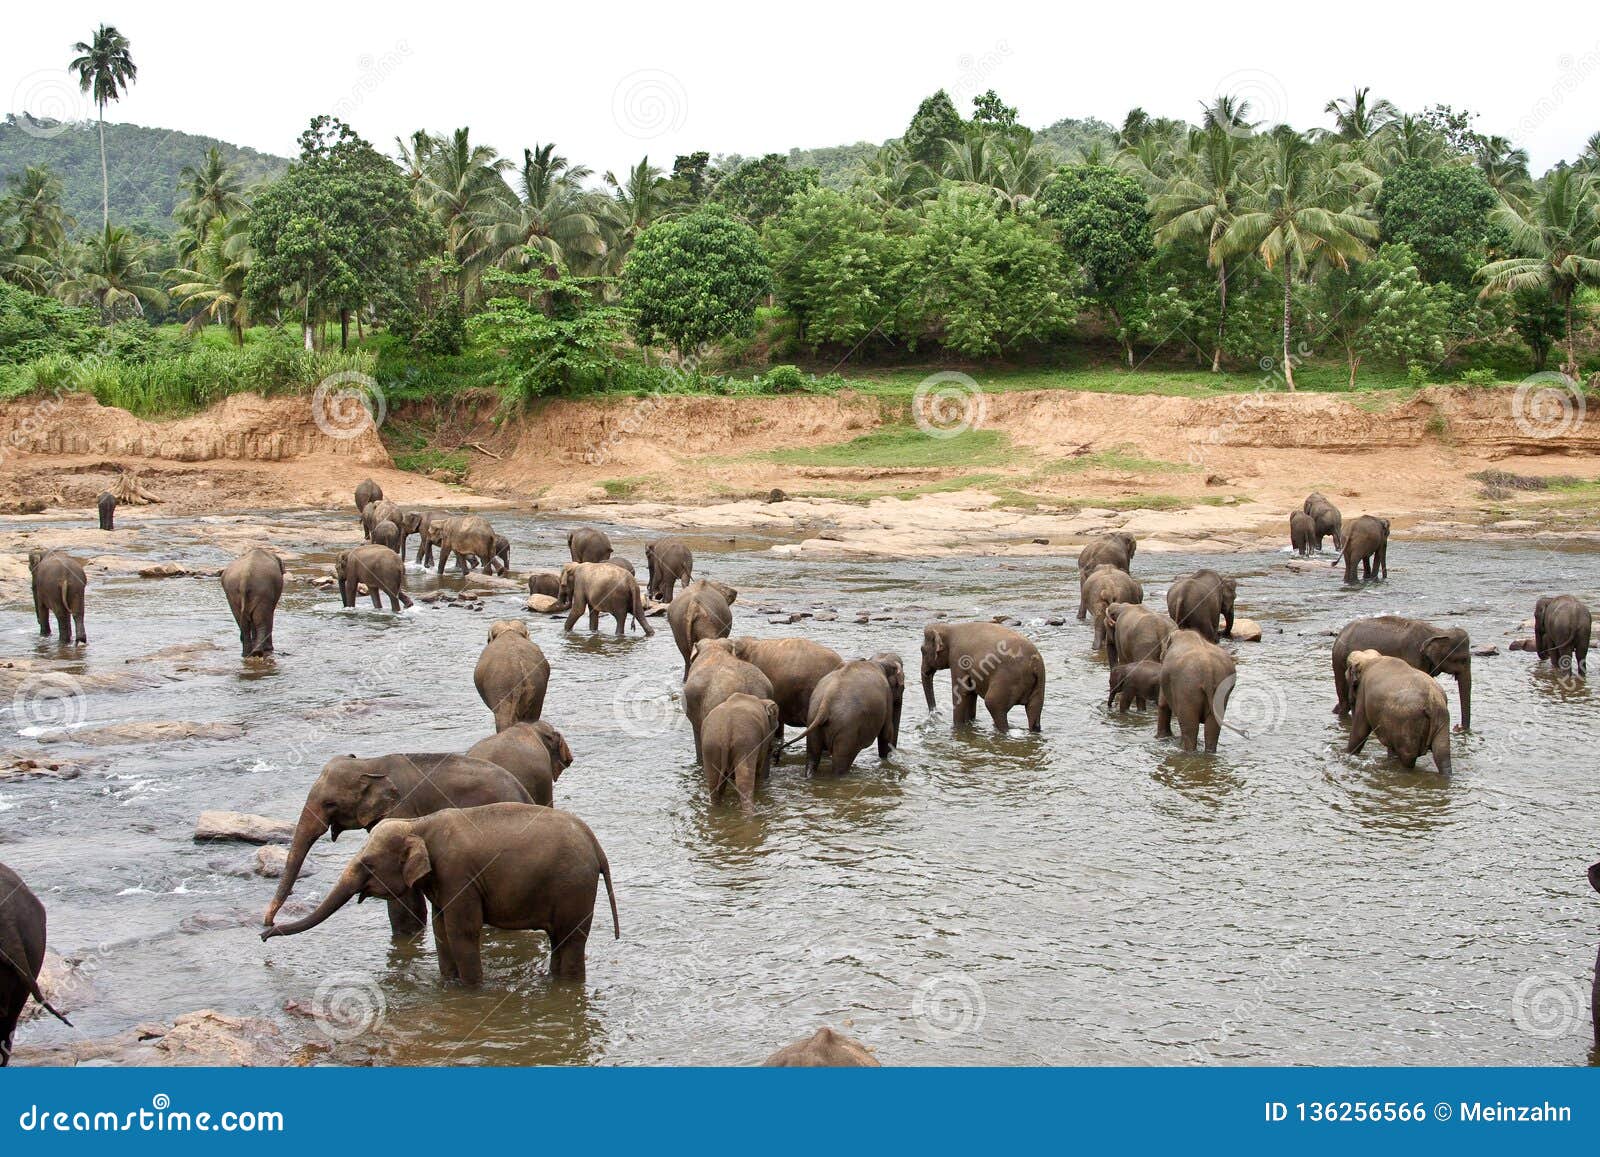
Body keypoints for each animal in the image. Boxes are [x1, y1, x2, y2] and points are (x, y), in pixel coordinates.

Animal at [262, 753, 534, 936]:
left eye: (330, 804)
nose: (268, 925)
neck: (371, 764)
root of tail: (523, 792)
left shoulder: (401, 810)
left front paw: (406, 935)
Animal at [262, 803, 620, 985]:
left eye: (368, 863)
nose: (264, 932)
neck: (417, 824)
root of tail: (596, 845)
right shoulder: (443, 881)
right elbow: (439, 929)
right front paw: (448, 983)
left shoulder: (459, 874)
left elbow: (461, 930)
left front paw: (471, 991)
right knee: (560, 940)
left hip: (573, 886)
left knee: (571, 940)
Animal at [1331, 616, 1471, 731]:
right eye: (1463, 659)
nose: (1458, 727)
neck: (1438, 632)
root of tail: (1340, 634)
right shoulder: (1413, 657)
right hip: (1339, 660)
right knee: (1345, 700)